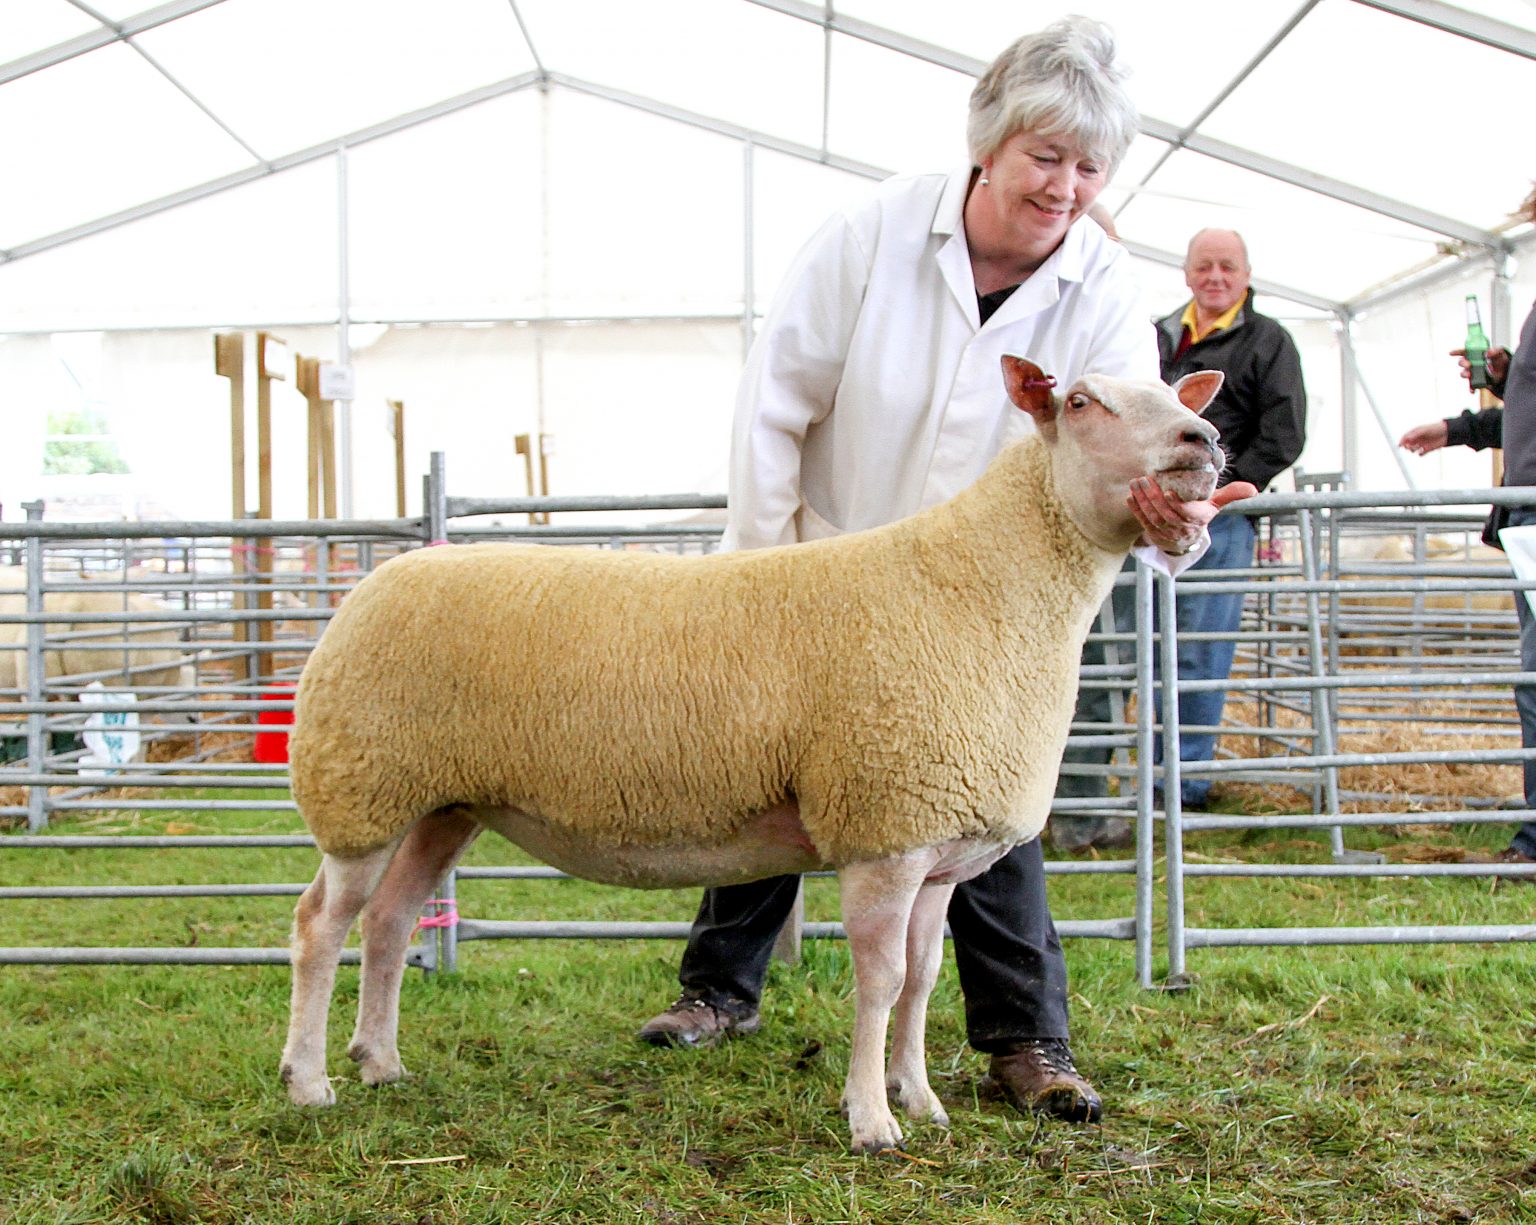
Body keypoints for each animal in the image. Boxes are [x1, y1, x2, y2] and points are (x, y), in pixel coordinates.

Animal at [279, 356, 1226, 1154]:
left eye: (1174, 392)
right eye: (1082, 401)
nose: (1204, 441)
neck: (988, 590)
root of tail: (378, 578)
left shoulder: (939, 850)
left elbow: (923, 983)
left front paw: (919, 1098)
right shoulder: (880, 829)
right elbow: (880, 983)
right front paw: (872, 1120)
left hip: (440, 801)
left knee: (391, 919)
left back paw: (381, 1062)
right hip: (361, 785)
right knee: (322, 923)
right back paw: (310, 1080)